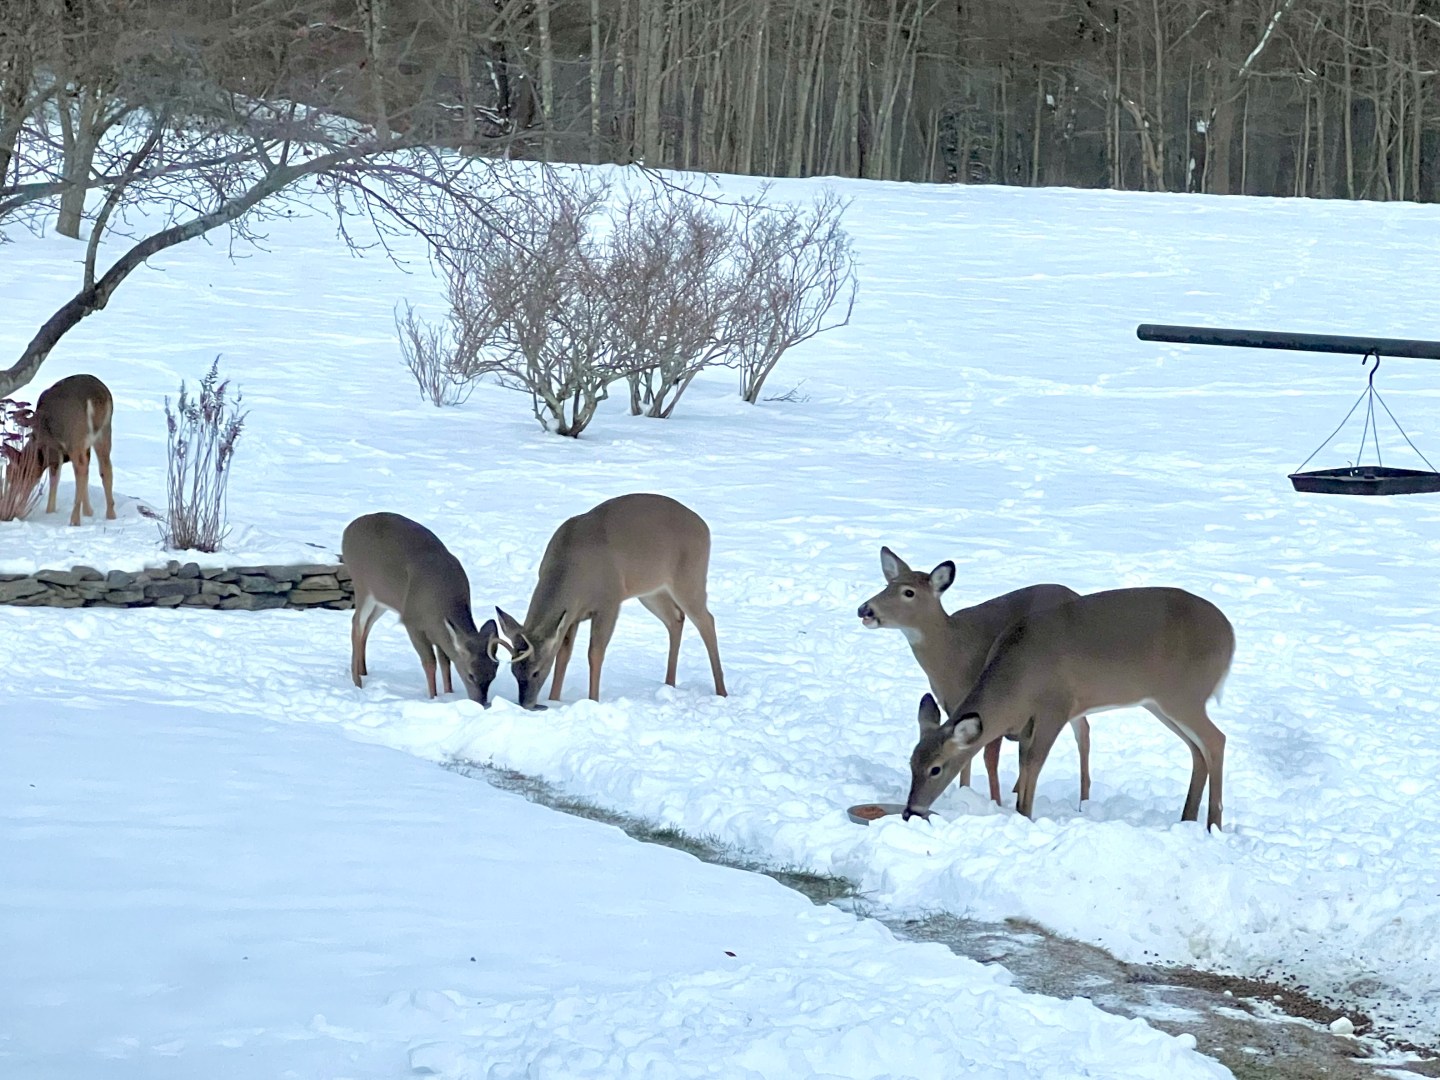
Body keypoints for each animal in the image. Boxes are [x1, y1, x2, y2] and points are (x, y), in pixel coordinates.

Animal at [25, 373, 116, 527]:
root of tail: (95, 396)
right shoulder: (85, 447)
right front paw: (88, 512)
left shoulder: (53, 448)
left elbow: (54, 478)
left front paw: (50, 511)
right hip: (104, 432)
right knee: (105, 468)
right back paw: (111, 516)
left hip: (74, 433)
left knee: (81, 468)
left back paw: (74, 520)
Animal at [341, 512, 503, 707]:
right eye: (471, 675)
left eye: (494, 673)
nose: (481, 703)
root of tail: (347, 530)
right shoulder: (412, 622)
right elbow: (430, 662)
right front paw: (433, 697)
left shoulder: (439, 631)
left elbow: (445, 662)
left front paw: (449, 693)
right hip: (362, 585)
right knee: (356, 623)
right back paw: (357, 681)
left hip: (383, 599)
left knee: (366, 625)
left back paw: (363, 671)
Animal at [495, 493, 727, 710]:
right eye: (513, 670)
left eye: (536, 672)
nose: (526, 704)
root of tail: (704, 526)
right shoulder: (573, 615)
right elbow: (563, 654)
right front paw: (554, 699)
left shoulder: (609, 601)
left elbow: (595, 653)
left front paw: (592, 700)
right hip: (651, 591)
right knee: (676, 618)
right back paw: (669, 683)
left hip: (689, 577)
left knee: (707, 620)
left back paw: (721, 691)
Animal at [859, 547, 1091, 806]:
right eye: (887, 585)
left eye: (908, 592)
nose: (865, 609)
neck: (952, 657)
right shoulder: (954, 707)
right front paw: (965, 793)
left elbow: (988, 757)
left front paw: (994, 802)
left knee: (1082, 732)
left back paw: (1082, 801)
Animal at [903, 587, 1234, 831]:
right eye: (911, 763)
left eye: (936, 768)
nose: (910, 811)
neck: (1018, 680)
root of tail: (1230, 635)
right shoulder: (1030, 721)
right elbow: (1024, 762)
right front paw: (1020, 811)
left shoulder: (1056, 707)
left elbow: (1034, 761)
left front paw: (1026, 815)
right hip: (1159, 703)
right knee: (1197, 749)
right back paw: (1187, 818)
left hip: (1185, 695)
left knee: (1216, 740)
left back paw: (1213, 825)